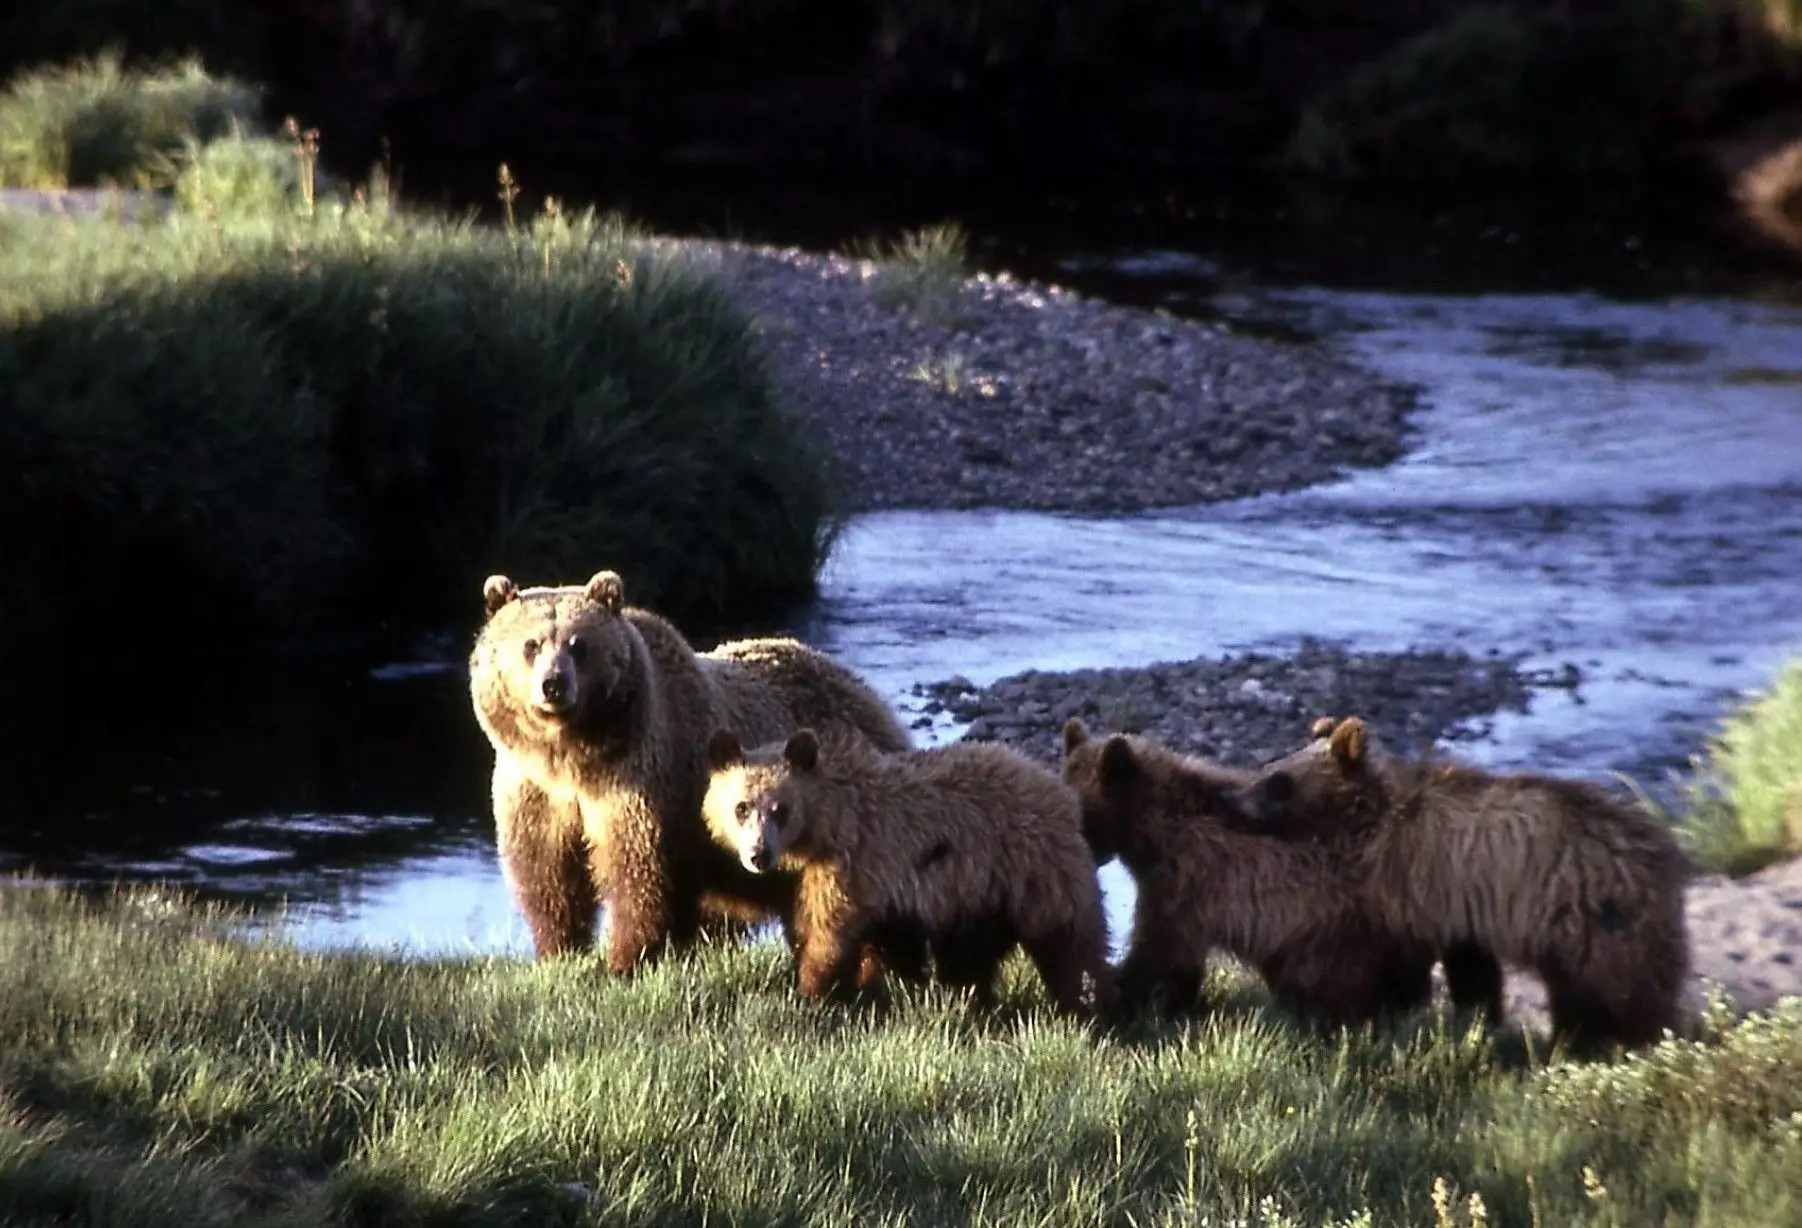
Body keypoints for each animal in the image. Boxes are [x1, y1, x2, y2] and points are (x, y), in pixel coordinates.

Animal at [468, 566, 915, 973]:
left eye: (578, 645)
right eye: (531, 644)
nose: (554, 684)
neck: (574, 757)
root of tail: (871, 697)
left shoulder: (643, 779)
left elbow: (639, 869)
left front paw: (625, 960)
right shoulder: (535, 790)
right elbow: (546, 872)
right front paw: (558, 950)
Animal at [699, 728, 1110, 1017]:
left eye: (780, 809)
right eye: (741, 807)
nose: (758, 855)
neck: (824, 828)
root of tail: (1058, 791)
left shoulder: (853, 866)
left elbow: (829, 935)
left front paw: (812, 992)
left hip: (1032, 868)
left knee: (1070, 945)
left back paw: (1089, 1004)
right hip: (981, 892)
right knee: (971, 952)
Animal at [1052, 714, 1434, 1031]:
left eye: (1081, 814)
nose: (1083, 858)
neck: (1152, 834)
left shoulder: (1187, 882)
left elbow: (1160, 950)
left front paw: (1122, 997)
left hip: (1334, 933)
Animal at [1232, 714, 1693, 1045]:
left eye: (1278, 782)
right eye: (1268, 766)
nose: (1236, 799)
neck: (1372, 817)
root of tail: (1664, 854)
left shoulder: (1416, 877)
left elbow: (1404, 956)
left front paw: (1399, 1005)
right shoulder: (1459, 903)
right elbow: (1472, 966)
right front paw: (1474, 1018)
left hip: (1595, 917)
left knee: (1610, 991)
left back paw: (1604, 1040)